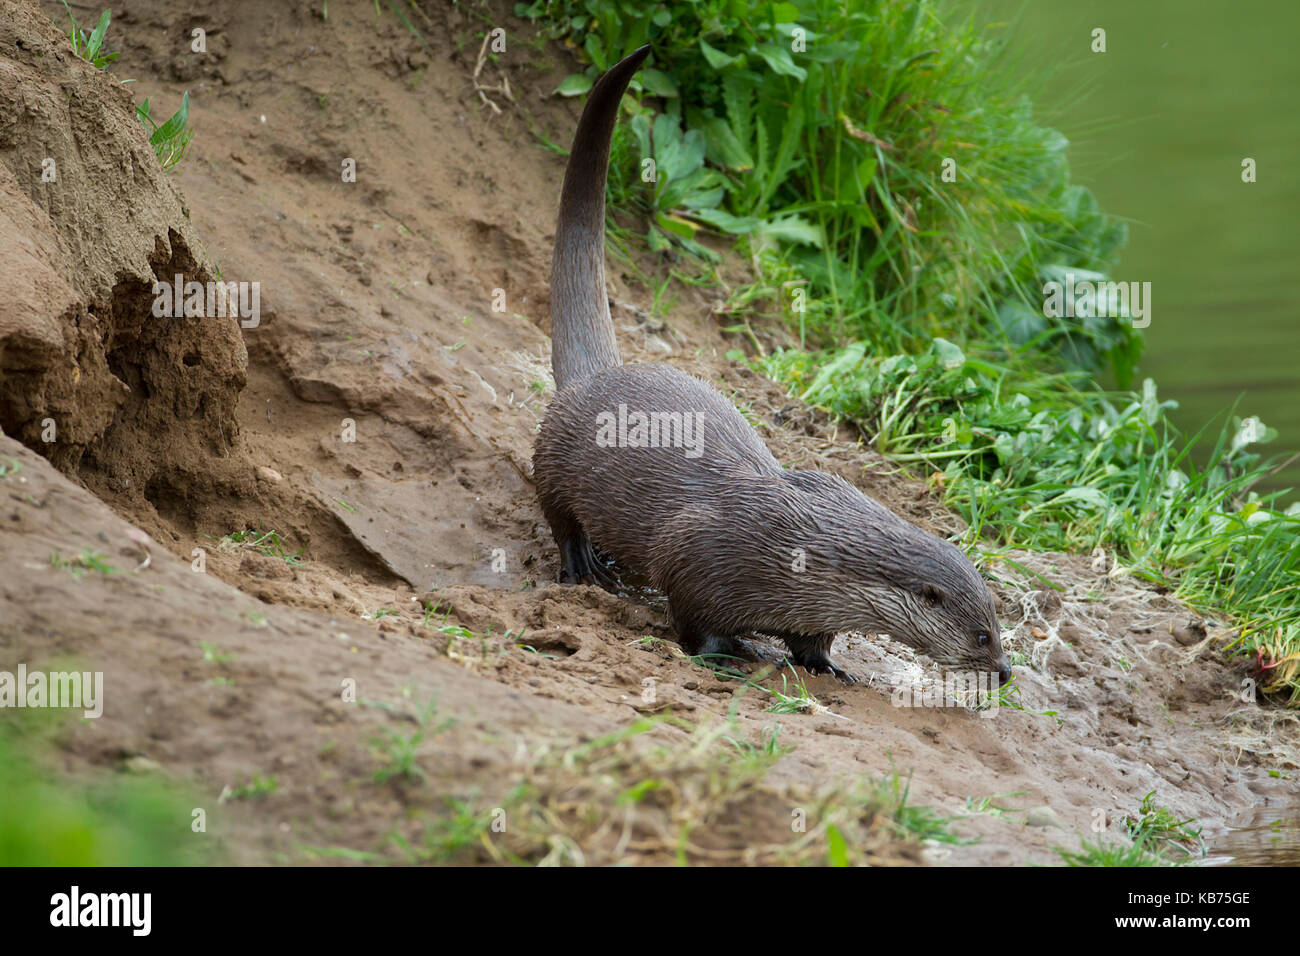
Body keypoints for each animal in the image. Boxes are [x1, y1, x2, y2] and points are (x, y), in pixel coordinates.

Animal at [534, 46, 1011, 686]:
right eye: (982, 635)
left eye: (999, 630)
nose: (1005, 671)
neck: (807, 562)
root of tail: (596, 375)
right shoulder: (702, 560)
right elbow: (695, 621)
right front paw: (731, 653)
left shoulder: (811, 608)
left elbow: (813, 641)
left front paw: (831, 666)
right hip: (555, 456)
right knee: (558, 516)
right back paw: (583, 565)